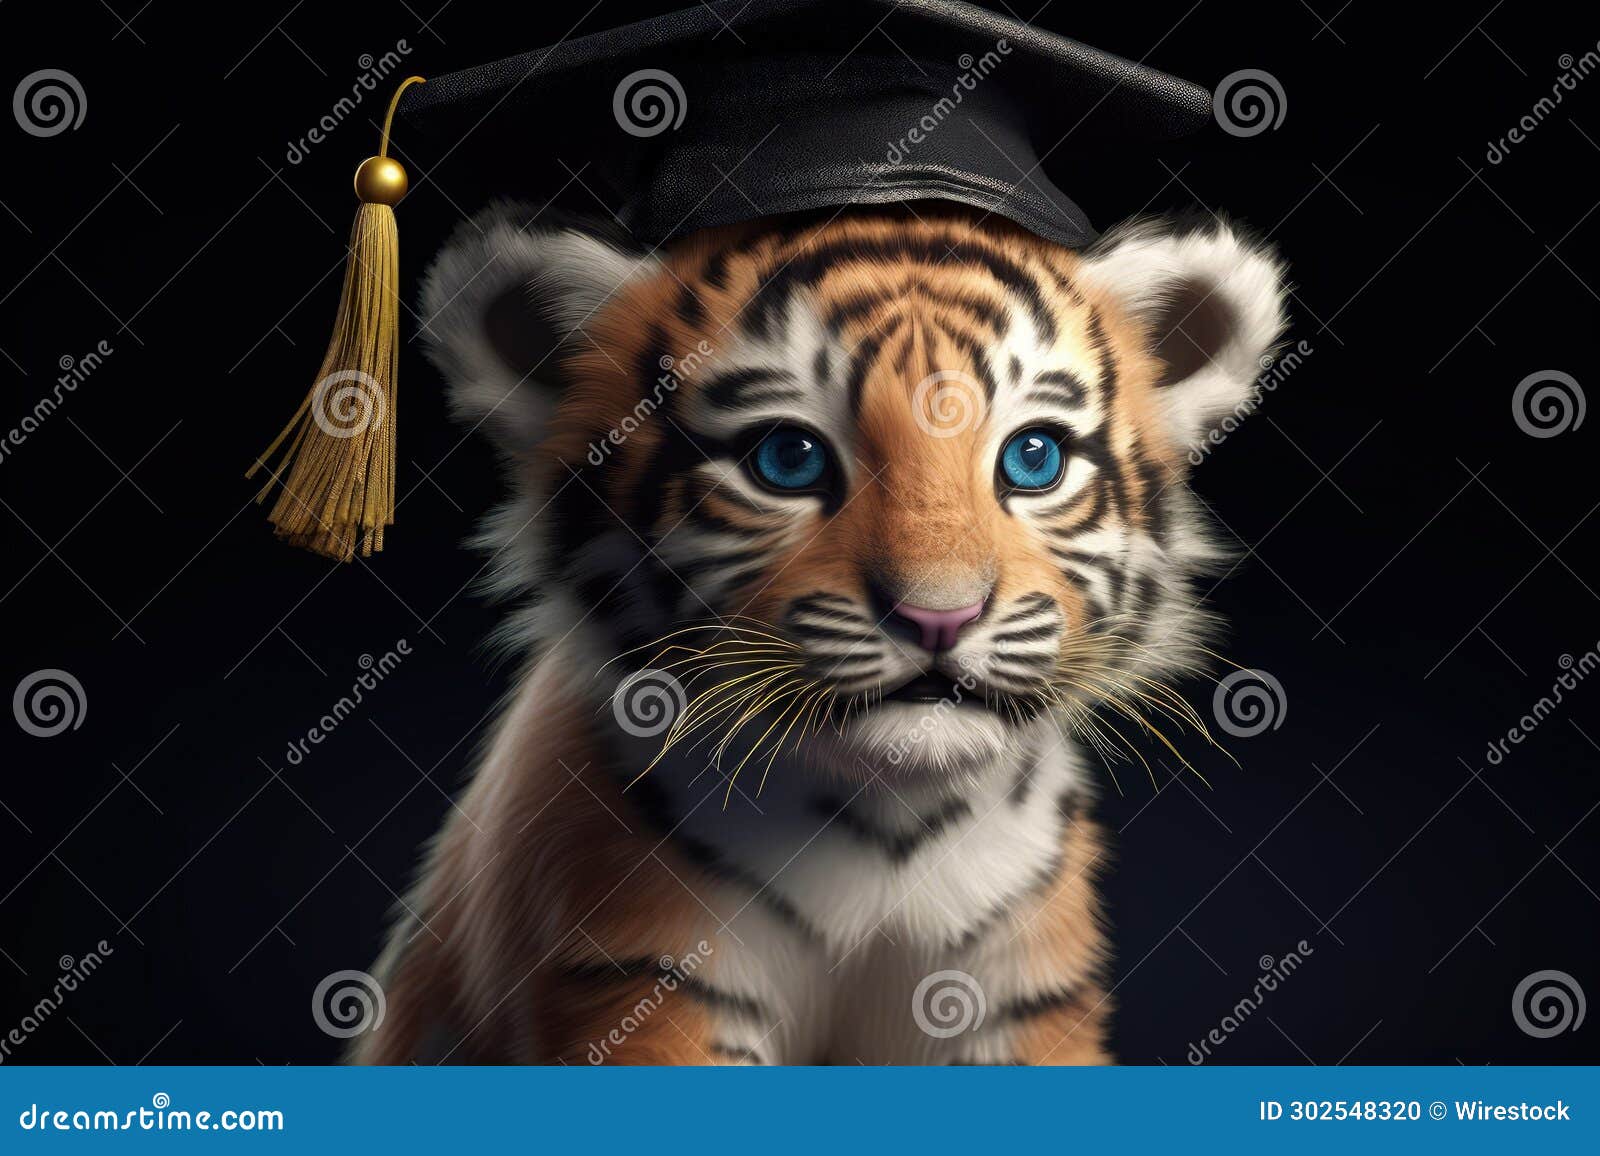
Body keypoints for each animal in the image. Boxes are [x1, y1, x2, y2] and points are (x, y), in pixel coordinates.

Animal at [353, 201, 1287, 1065]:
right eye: (787, 458)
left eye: (1034, 459)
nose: (939, 616)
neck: (891, 828)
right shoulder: (640, 978)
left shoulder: (1017, 996)